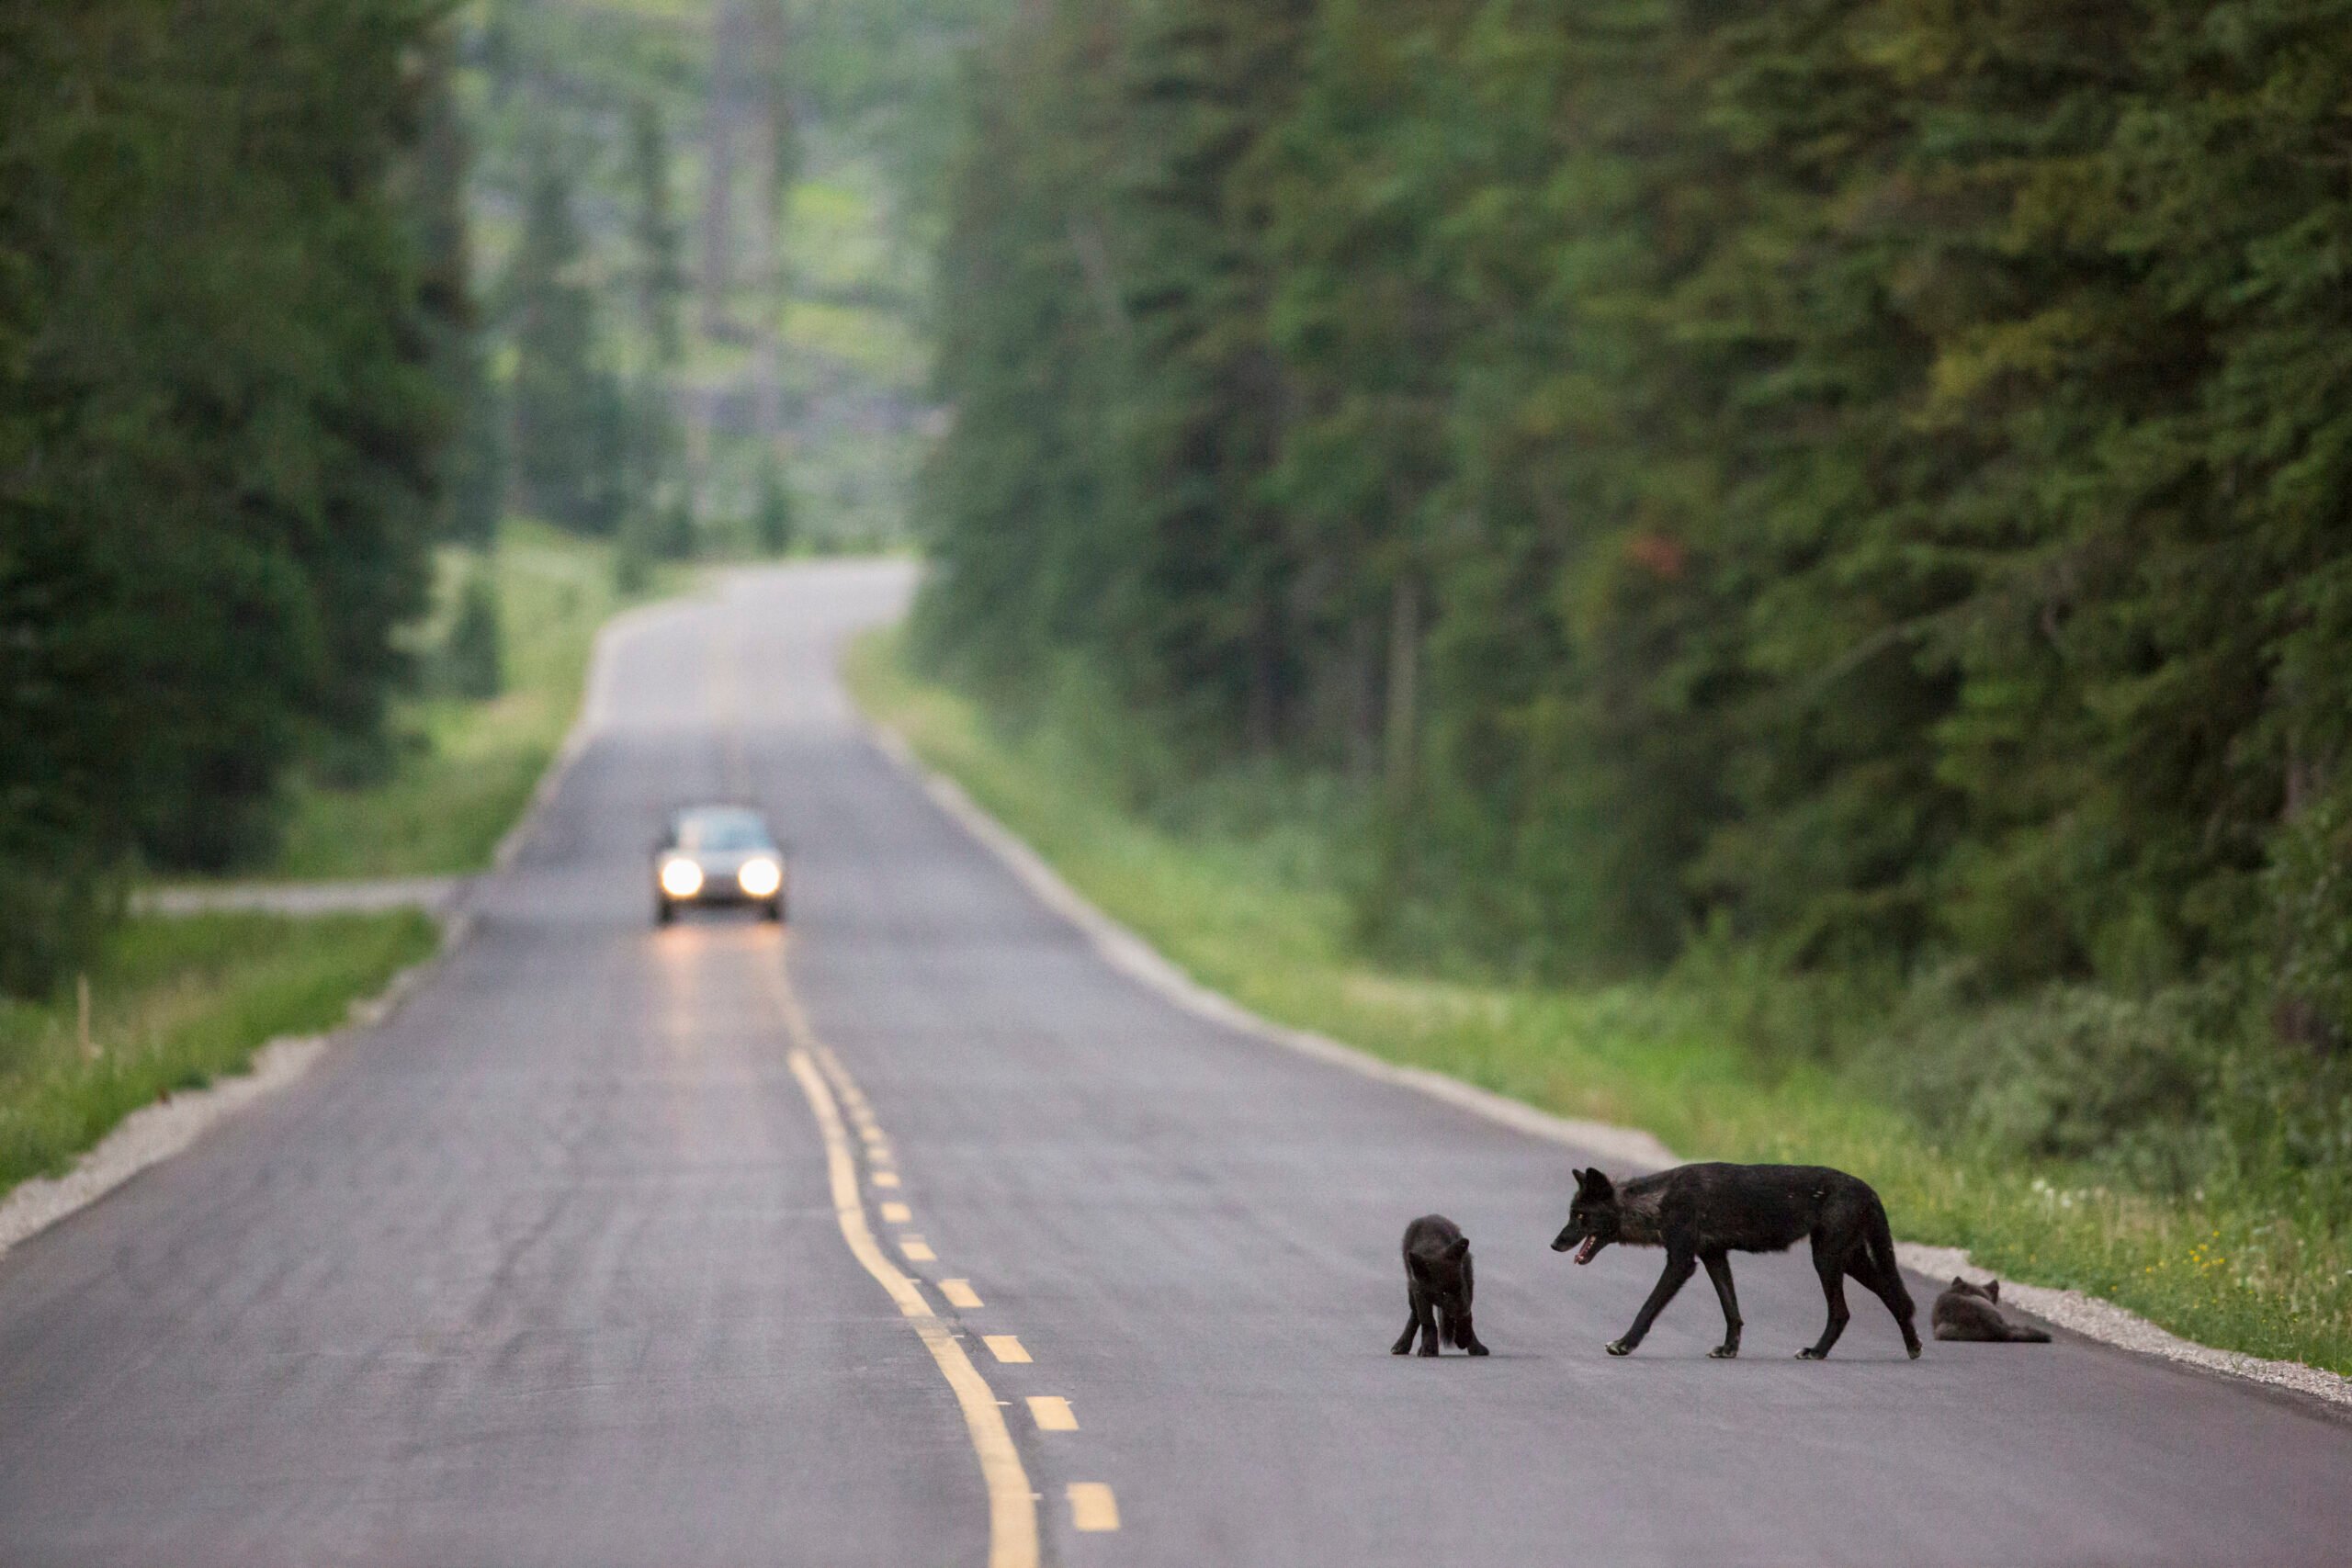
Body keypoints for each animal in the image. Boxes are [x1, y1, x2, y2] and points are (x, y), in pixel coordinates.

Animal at [1390, 1214, 1490, 1356]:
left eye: (1460, 1288)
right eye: (1443, 1293)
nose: (1463, 1310)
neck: (1433, 1250)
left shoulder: (1465, 1291)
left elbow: (1467, 1317)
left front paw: (1463, 1338)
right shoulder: (1419, 1292)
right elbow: (1427, 1320)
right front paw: (1429, 1348)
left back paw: (1476, 1347)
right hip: (1412, 1293)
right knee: (1415, 1315)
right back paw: (1402, 1345)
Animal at [1551, 1163, 1922, 1360]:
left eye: (1580, 1217)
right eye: (1571, 1215)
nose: (1555, 1244)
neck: (1660, 1201)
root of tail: (1868, 1189)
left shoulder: (1682, 1263)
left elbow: (1648, 1307)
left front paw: (1625, 1343)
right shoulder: (1714, 1257)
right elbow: (1732, 1311)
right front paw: (1729, 1349)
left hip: (1827, 1260)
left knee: (1843, 1312)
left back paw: (1816, 1352)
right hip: (1849, 1262)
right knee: (1898, 1299)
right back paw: (1913, 1346)